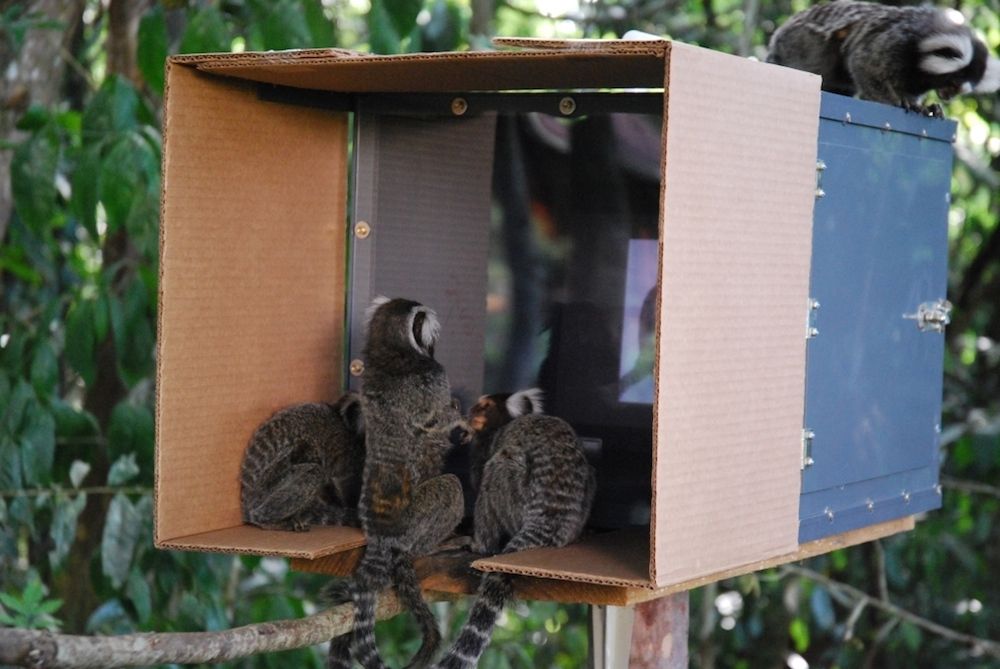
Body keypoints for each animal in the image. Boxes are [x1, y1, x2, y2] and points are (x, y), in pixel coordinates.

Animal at [240, 393, 365, 531]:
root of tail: (247, 500)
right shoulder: (348, 450)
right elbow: (345, 482)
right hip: (265, 489)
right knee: (311, 463)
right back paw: (268, 521)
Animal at [327, 296, 466, 669]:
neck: (393, 355)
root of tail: (380, 535)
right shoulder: (435, 378)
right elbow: (441, 419)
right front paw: (457, 412)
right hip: (415, 521)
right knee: (452, 489)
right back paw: (436, 545)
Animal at [432, 388, 596, 669]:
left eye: (482, 408)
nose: (469, 415)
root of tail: (547, 521)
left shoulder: (492, 442)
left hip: (515, 500)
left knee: (498, 466)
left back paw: (479, 543)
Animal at [766, 1, 1000, 114]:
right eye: (952, 84)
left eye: (958, 91)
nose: (948, 97)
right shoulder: (895, 43)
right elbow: (862, 63)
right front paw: (897, 103)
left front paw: (926, 107)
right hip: (800, 41)